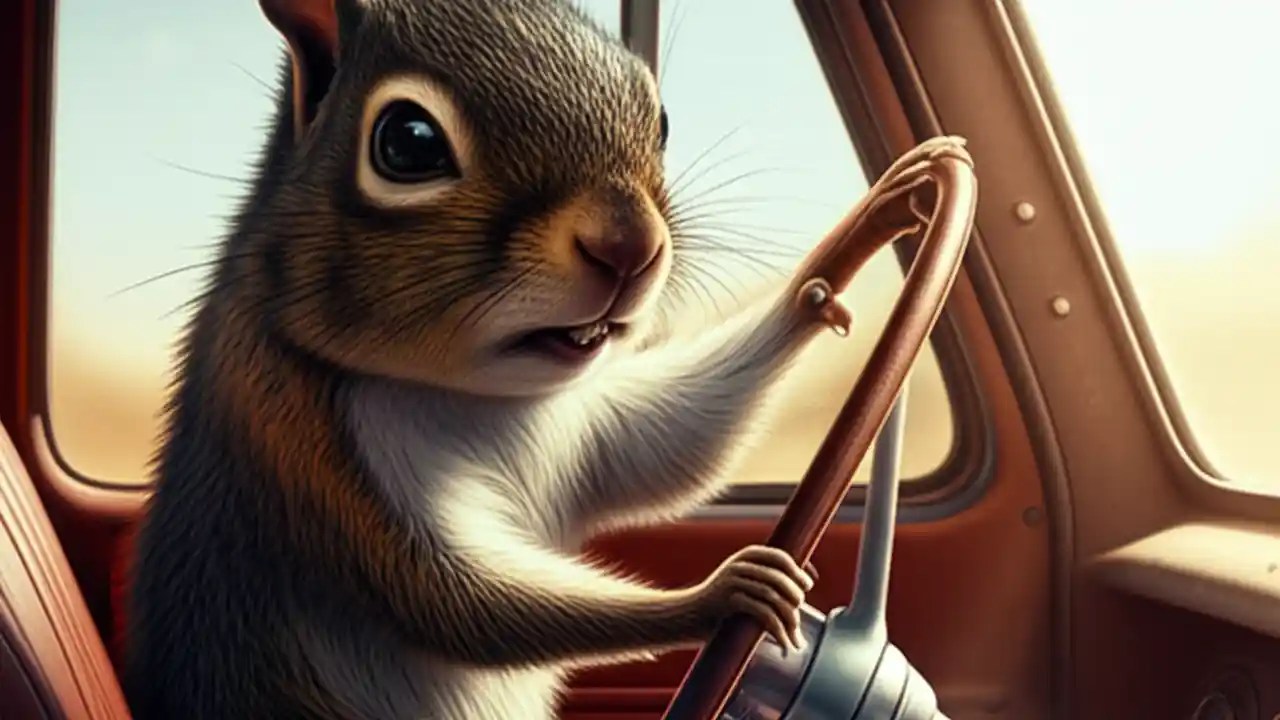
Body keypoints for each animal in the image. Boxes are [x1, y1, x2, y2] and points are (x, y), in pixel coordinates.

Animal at [121, 0, 944, 718]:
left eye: (662, 119)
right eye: (408, 141)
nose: (630, 246)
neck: (481, 399)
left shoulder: (581, 427)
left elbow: (674, 443)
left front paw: (849, 249)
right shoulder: (306, 456)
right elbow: (462, 603)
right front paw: (720, 596)